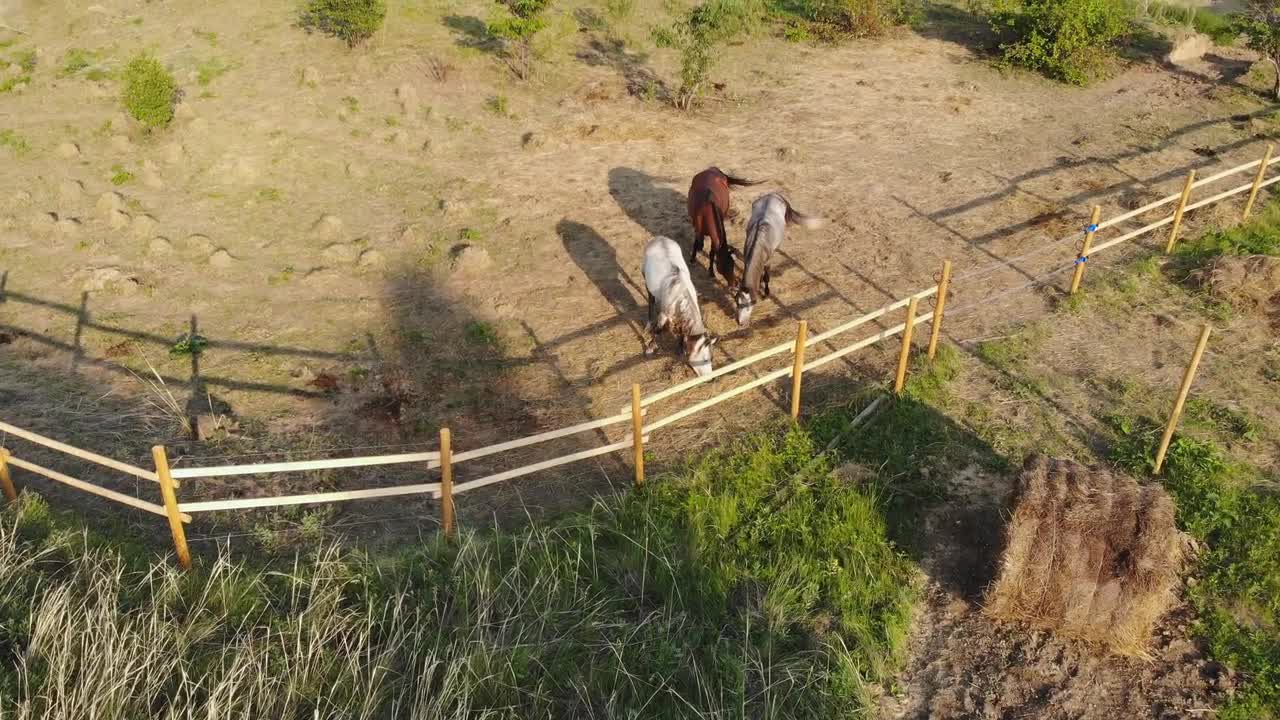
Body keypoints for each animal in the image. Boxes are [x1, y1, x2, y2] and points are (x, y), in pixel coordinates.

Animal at [642, 235, 719, 376]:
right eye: (705, 359)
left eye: (712, 358)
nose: (711, 378)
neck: (680, 294)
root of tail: (659, 238)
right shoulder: (664, 315)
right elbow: (657, 330)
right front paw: (650, 348)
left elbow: (683, 330)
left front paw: (680, 349)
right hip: (645, 279)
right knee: (651, 301)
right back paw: (649, 323)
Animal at [736, 192, 824, 326]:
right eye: (737, 302)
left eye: (750, 305)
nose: (740, 322)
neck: (759, 241)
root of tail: (773, 195)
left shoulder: (768, 261)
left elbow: (766, 277)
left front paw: (766, 293)